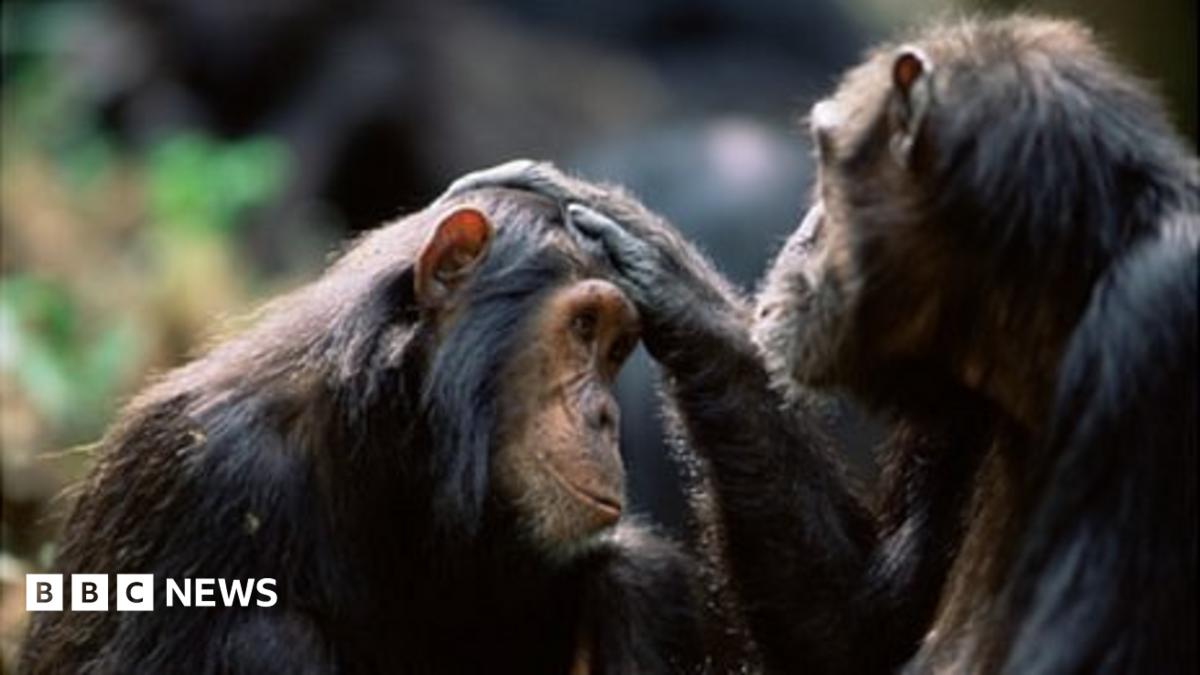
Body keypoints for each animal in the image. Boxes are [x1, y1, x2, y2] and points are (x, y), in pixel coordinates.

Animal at [20, 187, 706, 674]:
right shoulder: (202, 468)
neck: (390, 437)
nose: (605, 416)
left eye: (616, 351)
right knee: (267, 639)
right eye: (584, 327)